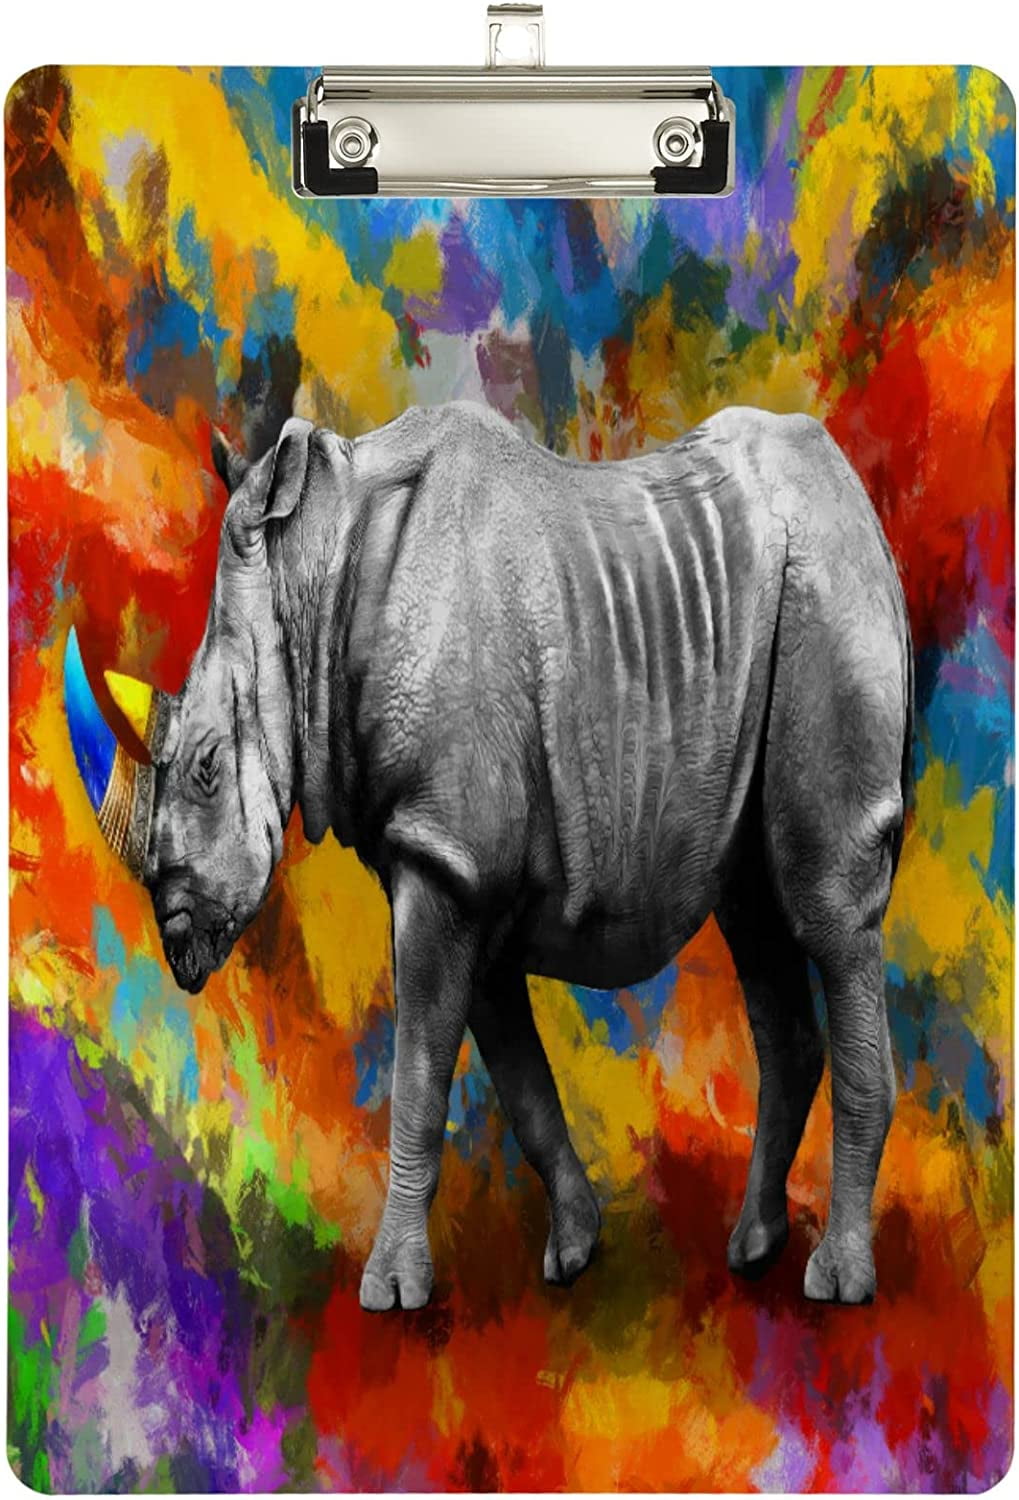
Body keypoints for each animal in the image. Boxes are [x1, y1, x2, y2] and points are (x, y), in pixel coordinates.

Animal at [64, 399, 913, 1310]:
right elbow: (517, 1079)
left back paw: (836, 1281)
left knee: (825, 904)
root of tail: (861, 509)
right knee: (757, 911)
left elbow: (417, 1077)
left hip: (826, 592)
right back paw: (751, 1250)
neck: (311, 576)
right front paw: (574, 1251)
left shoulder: (443, 856)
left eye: (206, 767)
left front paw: (389, 1291)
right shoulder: (460, 866)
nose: (178, 939)